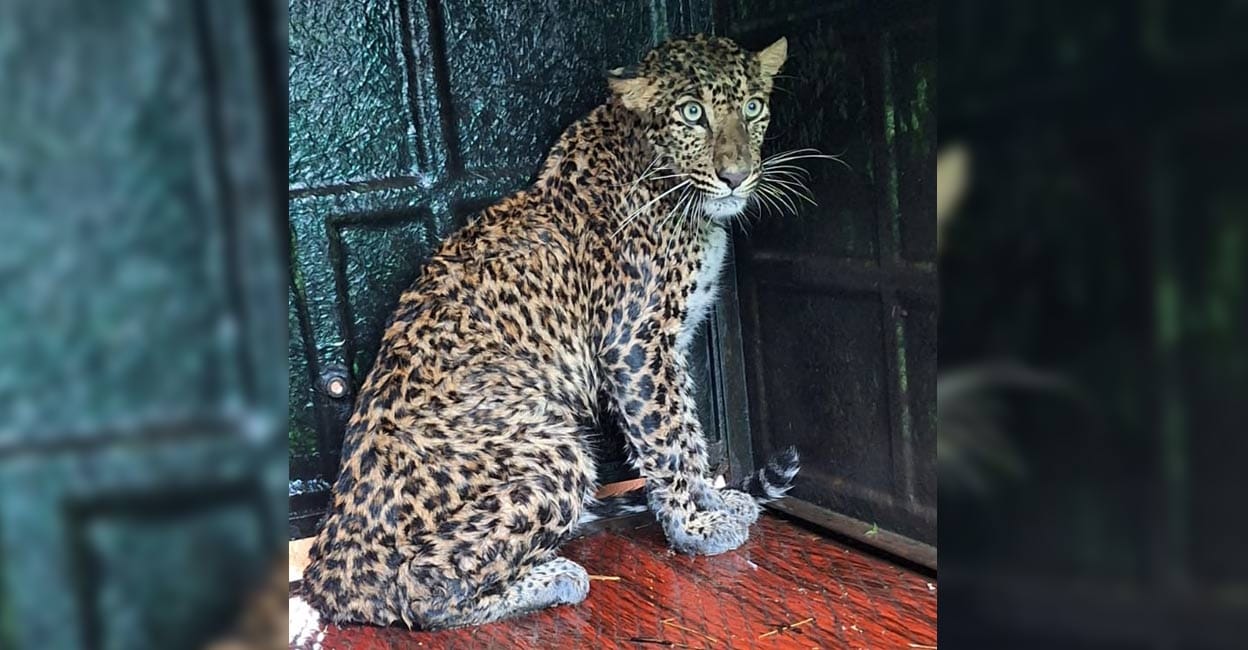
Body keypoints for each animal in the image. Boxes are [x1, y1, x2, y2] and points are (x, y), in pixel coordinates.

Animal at [302, 33, 810, 630]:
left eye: (752, 107)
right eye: (692, 113)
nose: (736, 176)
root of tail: (329, 571)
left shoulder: (672, 344)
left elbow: (687, 426)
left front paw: (714, 498)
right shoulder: (635, 342)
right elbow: (665, 441)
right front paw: (693, 527)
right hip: (552, 450)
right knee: (422, 593)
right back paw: (555, 577)